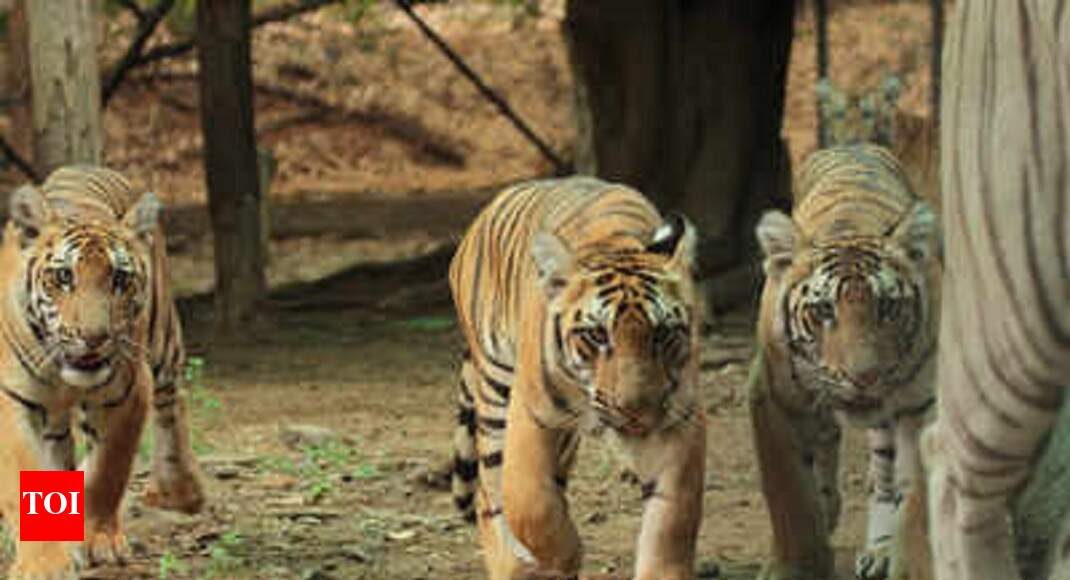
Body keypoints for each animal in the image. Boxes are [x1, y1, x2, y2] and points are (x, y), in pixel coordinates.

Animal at [0, 166, 204, 579]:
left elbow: (108, 471)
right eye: (63, 277)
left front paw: (100, 540)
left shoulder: (129, 392)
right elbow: (22, 473)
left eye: (119, 279)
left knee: (172, 401)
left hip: (163, 338)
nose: (94, 337)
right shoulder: (10, 398)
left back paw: (181, 491)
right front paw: (44, 563)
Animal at [448, 177, 706, 580]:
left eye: (663, 333)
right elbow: (531, 504)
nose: (637, 412)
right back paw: (511, 564)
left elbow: (671, 523)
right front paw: (563, 558)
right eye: (597, 335)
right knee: (488, 491)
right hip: (495, 390)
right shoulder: (531, 417)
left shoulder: (680, 421)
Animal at [749, 144, 941, 580]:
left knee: (884, 474)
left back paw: (881, 550)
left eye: (887, 307)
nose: (864, 376)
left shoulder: (923, 402)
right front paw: (794, 566)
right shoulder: (772, 397)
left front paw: (911, 564)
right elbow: (789, 493)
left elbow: (917, 503)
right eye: (823, 311)